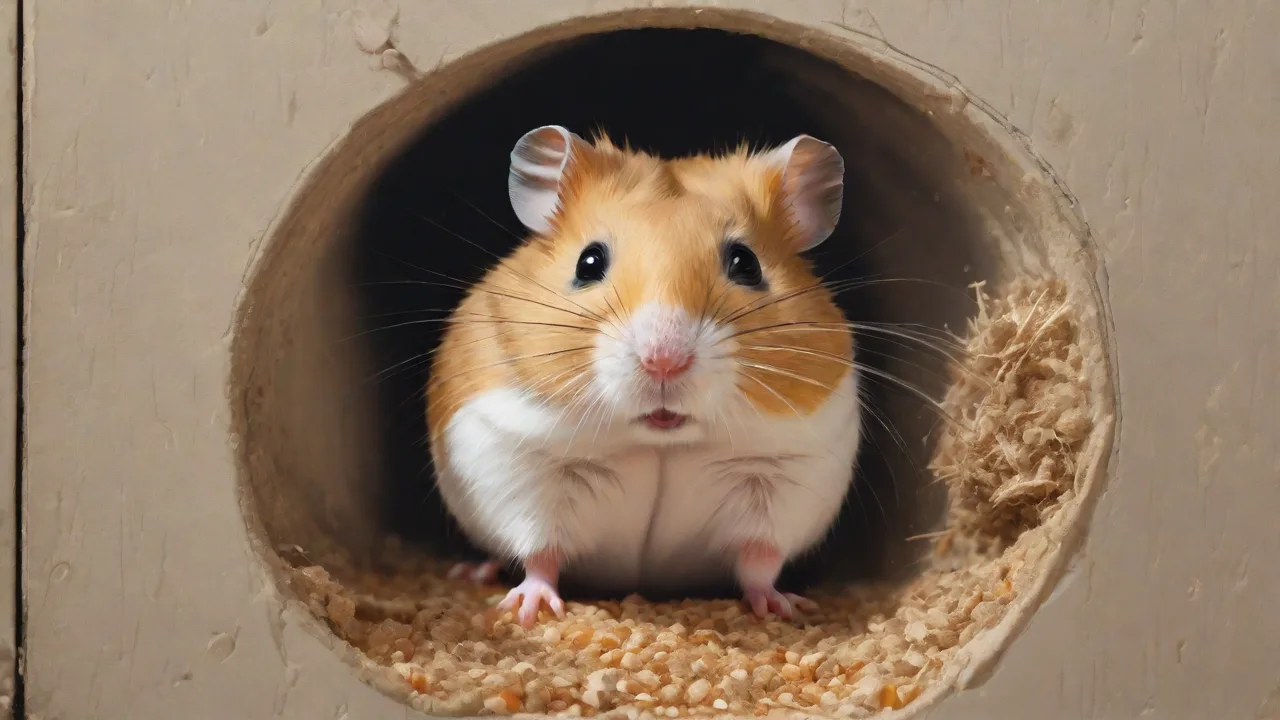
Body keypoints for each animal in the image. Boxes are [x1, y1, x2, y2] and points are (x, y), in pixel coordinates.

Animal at [426, 125, 861, 627]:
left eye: (745, 263)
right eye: (588, 262)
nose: (664, 361)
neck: (660, 440)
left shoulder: (784, 476)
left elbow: (760, 560)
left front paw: (782, 608)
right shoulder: (524, 464)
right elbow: (540, 551)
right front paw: (528, 610)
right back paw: (473, 572)